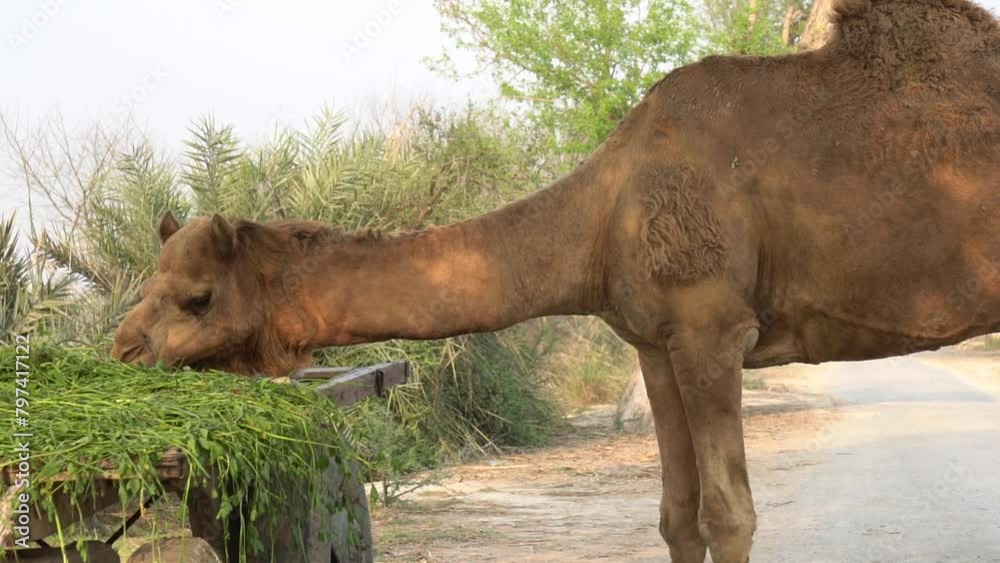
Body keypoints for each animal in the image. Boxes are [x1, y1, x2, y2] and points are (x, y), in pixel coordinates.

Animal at [111, 1, 1000, 560]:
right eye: (147, 284)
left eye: (196, 296)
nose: (121, 351)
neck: (603, 210)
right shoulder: (656, 342)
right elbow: (678, 518)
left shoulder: (713, 329)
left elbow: (730, 515)